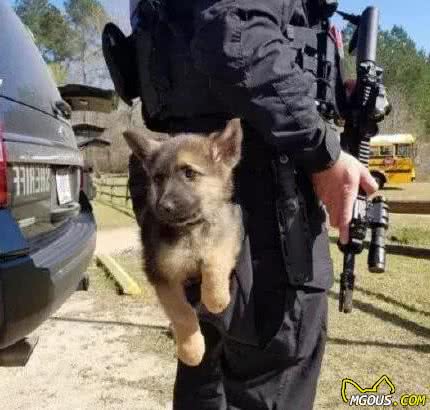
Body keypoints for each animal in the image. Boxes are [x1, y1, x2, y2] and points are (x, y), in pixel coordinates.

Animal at [124, 118, 244, 366]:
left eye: (189, 172)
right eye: (158, 178)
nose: (163, 207)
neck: (191, 230)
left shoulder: (230, 232)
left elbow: (215, 261)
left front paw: (216, 299)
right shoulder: (161, 275)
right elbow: (182, 313)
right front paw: (191, 351)